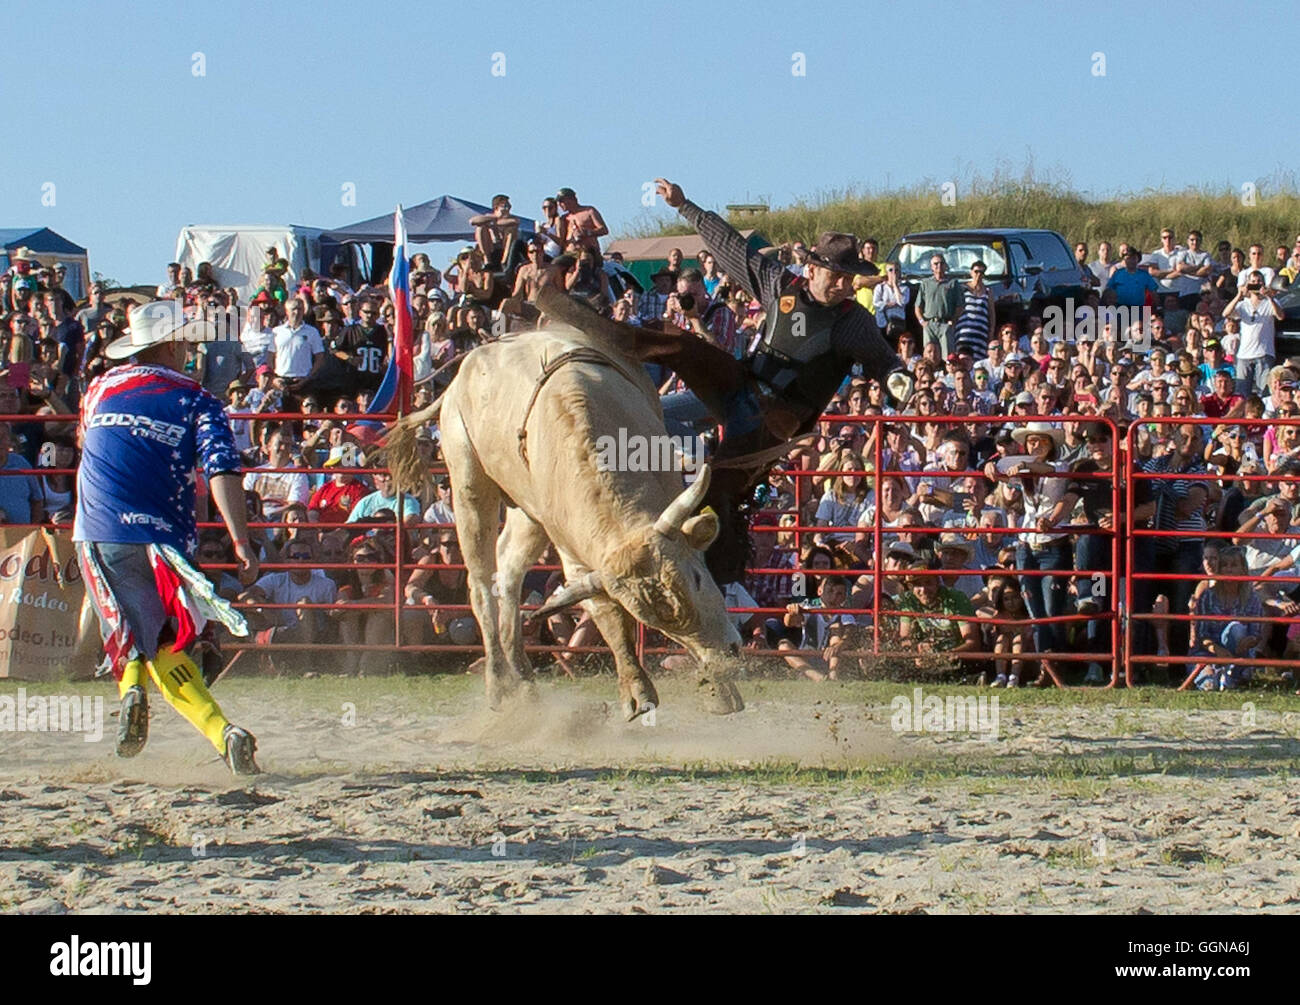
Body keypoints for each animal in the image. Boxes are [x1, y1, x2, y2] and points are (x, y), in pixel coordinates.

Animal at [387, 288, 744, 720]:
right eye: (652, 622)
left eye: (696, 577)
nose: (729, 655)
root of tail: (455, 382)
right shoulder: (576, 556)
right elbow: (607, 615)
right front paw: (637, 690)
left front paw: (721, 689)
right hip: (468, 479)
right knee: (481, 582)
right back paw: (499, 683)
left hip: (526, 511)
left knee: (508, 571)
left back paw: (524, 680)